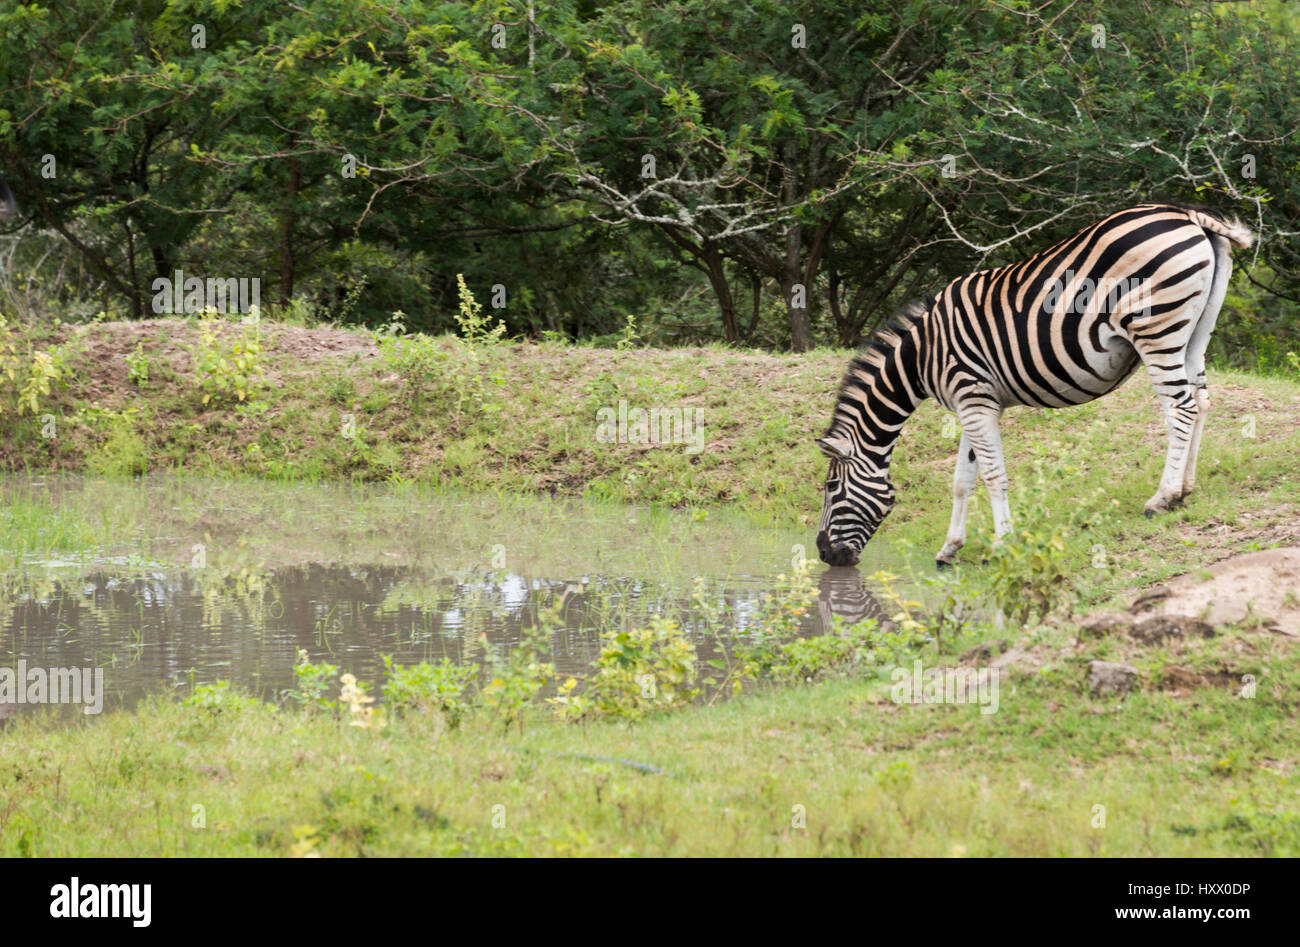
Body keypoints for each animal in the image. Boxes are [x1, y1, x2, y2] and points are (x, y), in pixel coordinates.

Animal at [815, 203, 1253, 568]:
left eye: (832, 486)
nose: (823, 554)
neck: (923, 355)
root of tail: (1188, 214)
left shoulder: (972, 397)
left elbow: (993, 475)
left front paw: (1001, 544)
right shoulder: (972, 401)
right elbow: (962, 480)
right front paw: (949, 549)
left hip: (1156, 329)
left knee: (1180, 408)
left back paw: (1162, 498)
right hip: (1195, 332)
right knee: (1200, 402)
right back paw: (1185, 490)